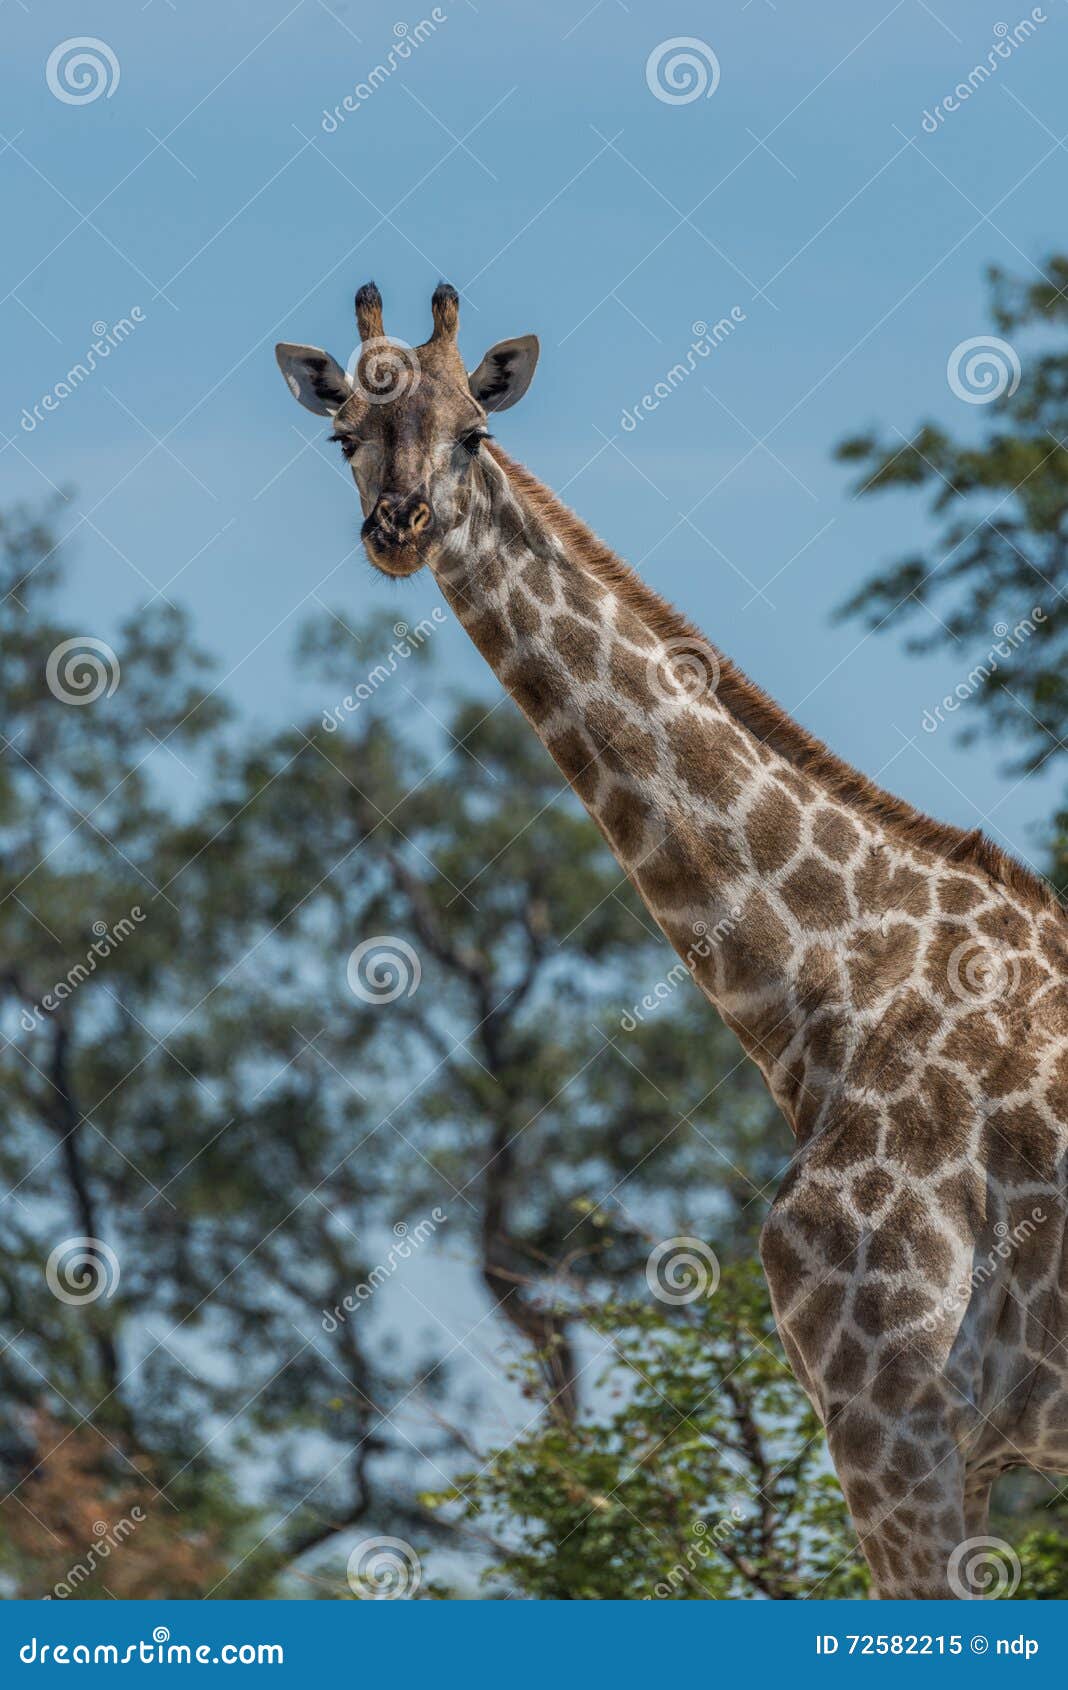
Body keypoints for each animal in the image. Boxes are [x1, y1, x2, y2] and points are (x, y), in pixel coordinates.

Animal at [276, 282, 1068, 1599]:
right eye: (344, 436)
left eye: (476, 434)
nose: (401, 524)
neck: (828, 996)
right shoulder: (964, 1443)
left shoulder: (897, 1415)